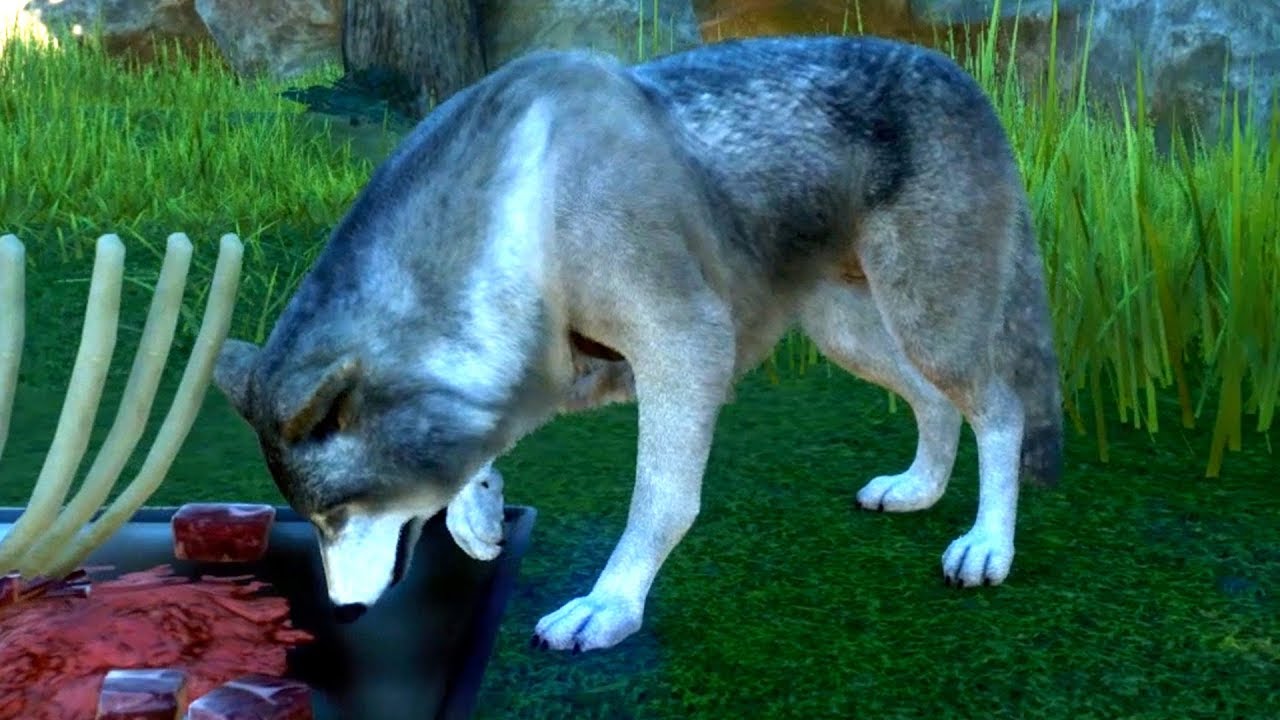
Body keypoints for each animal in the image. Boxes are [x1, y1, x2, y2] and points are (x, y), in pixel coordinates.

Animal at [212, 34, 1063, 652]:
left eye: (338, 513)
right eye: (312, 519)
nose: (344, 616)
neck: (522, 221)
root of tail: (960, 72)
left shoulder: (686, 346)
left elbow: (660, 502)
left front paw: (610, 606)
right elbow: (475, 454)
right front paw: (480, 515)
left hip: (927, 321)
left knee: (1001, 409)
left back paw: (986, 547)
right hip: (851, 333)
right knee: (933, 401)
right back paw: (917, 489)